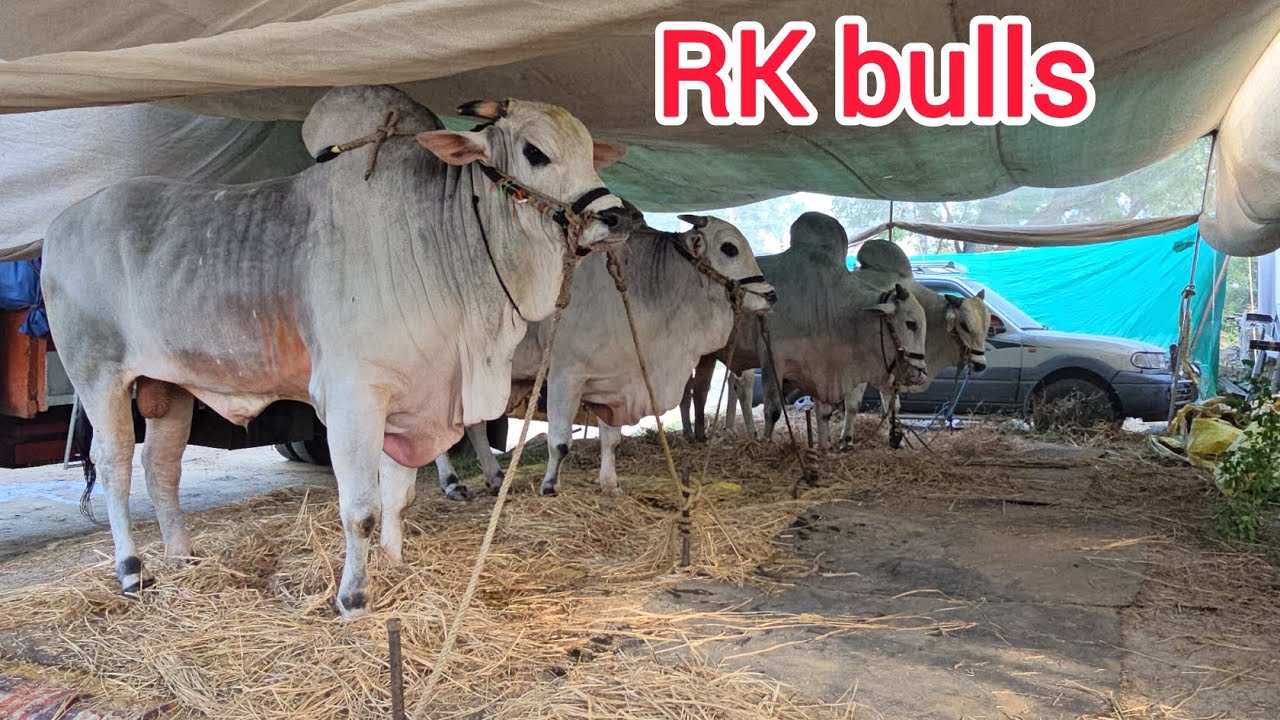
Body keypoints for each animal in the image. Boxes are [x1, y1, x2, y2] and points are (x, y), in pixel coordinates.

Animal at [39, 85, 636, 618]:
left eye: (588, 151)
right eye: (536, 152)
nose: (619, 217)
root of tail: (62, 224)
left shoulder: (409, 396)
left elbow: (400, 496)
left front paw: (396, 566)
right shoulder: (355, 396)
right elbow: (361, 510)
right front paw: (353, 598)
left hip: (170, 388)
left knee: (161, 468)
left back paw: (184, 558)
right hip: (98, 375)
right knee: (114, 467)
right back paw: (132, 571)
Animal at [432, 215, 776, 497]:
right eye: (729, 248)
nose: (771, 295)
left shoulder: (615, 383)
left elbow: (611, 440)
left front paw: (610, 484)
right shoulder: (565, 375)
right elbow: (560, 441)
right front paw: (549, 485)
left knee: (474, 426)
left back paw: (494, 477)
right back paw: (452, 483)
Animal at [681, 212, 929, 450]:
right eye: (911, 323)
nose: (921, 373)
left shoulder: (821, 366)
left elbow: (824, 413)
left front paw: (824, 447)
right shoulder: (772, 359)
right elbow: (773, 409)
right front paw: (767, 444)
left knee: (715, 389)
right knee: (702, 390)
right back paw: (697, 435)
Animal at [837, 241, 991, 447]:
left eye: (988, 326)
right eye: (964, 325)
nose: (980, 364)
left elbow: (893, 406)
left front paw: (897, 439)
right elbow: (853, 405)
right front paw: (846, 441)